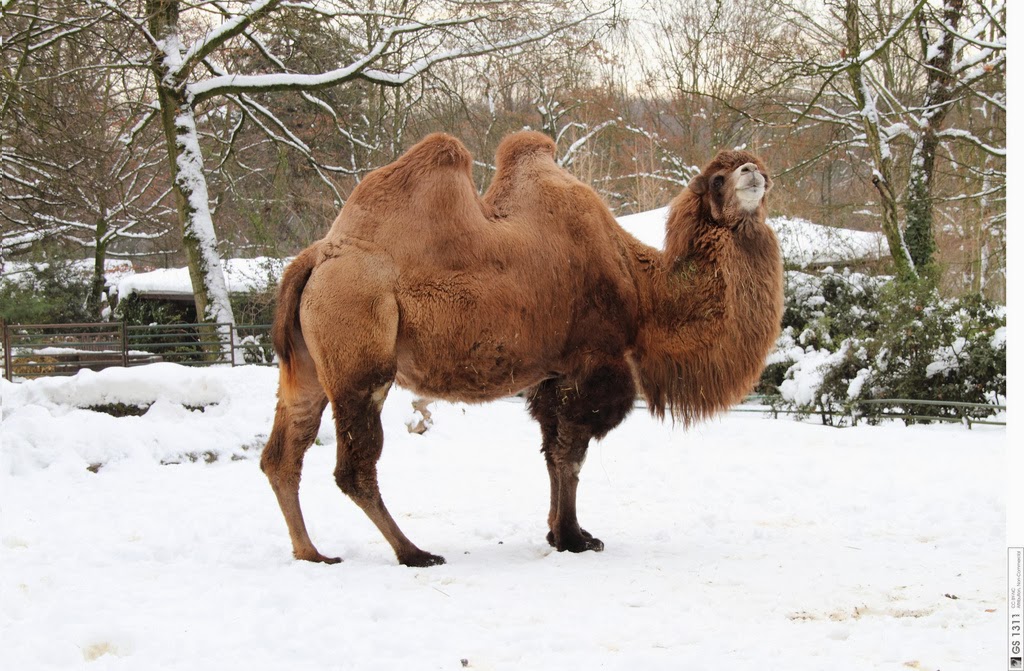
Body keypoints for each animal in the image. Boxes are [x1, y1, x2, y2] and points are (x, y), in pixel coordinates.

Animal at [260, 131, 783, 566]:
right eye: (717, 178)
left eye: (759, 166)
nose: (751, 172)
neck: (642, 289)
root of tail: (315, 257)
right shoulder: (594, 363)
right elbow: (571, 454)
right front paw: (572, 539)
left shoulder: (552, 373)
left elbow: (551, 451)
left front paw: (564, 533)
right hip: (361, 359)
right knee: (354, 466)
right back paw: (414, 553)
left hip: (309, 367)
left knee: (283, 454)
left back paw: (311, 553)